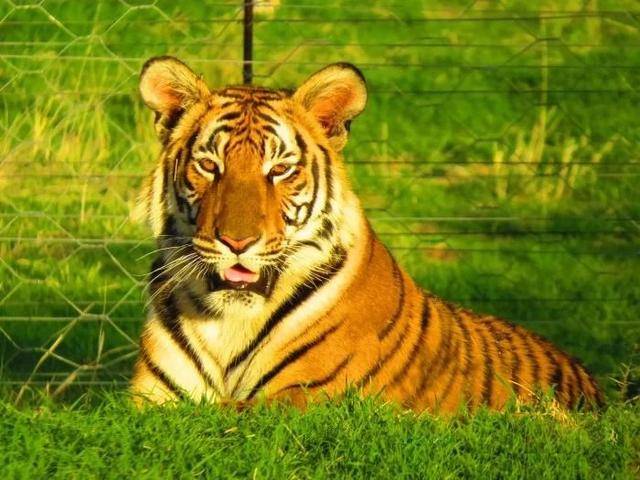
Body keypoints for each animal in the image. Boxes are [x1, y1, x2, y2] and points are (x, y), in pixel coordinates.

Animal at [130, 56, 603, 413]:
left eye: (280, 169)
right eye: (209, 166)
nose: (237, 243)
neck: (230, 325)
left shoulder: (310, 397)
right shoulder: (149, 396)